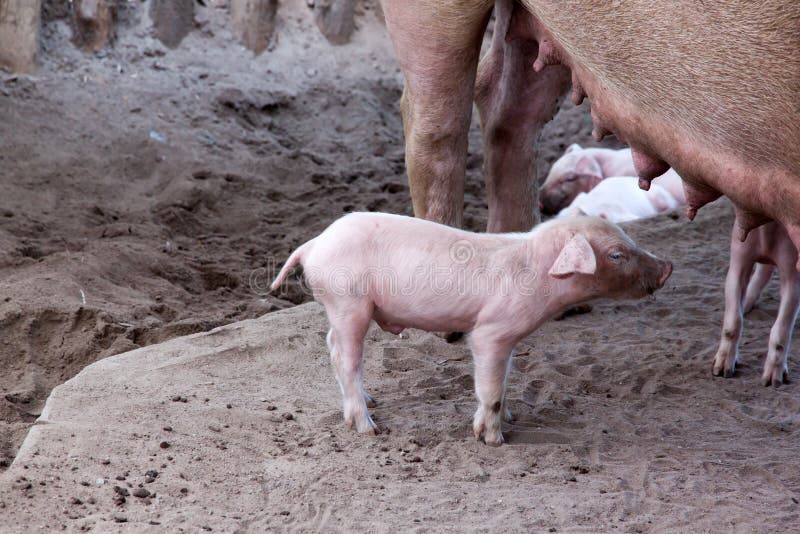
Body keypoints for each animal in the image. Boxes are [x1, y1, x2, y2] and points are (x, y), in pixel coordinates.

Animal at [271, 212, 672, 445]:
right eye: (616, 254)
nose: (668, 267)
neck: (542, 274)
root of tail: (314, 243)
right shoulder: (492, 330)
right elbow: (490, 387)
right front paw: (494, 441)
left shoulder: (509, 338)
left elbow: (502, 382)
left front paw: (510, 418)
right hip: (349, 302)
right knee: (344, 357)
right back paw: (370, 427)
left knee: (332, 345)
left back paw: (372, 401)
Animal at [712, 222, 800, 386]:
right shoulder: (738, 259)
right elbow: (733, 321)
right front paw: (722, 370)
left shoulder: (793, 271)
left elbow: (781, 330)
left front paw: (772, 381)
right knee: (764, 269)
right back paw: (746, 305)